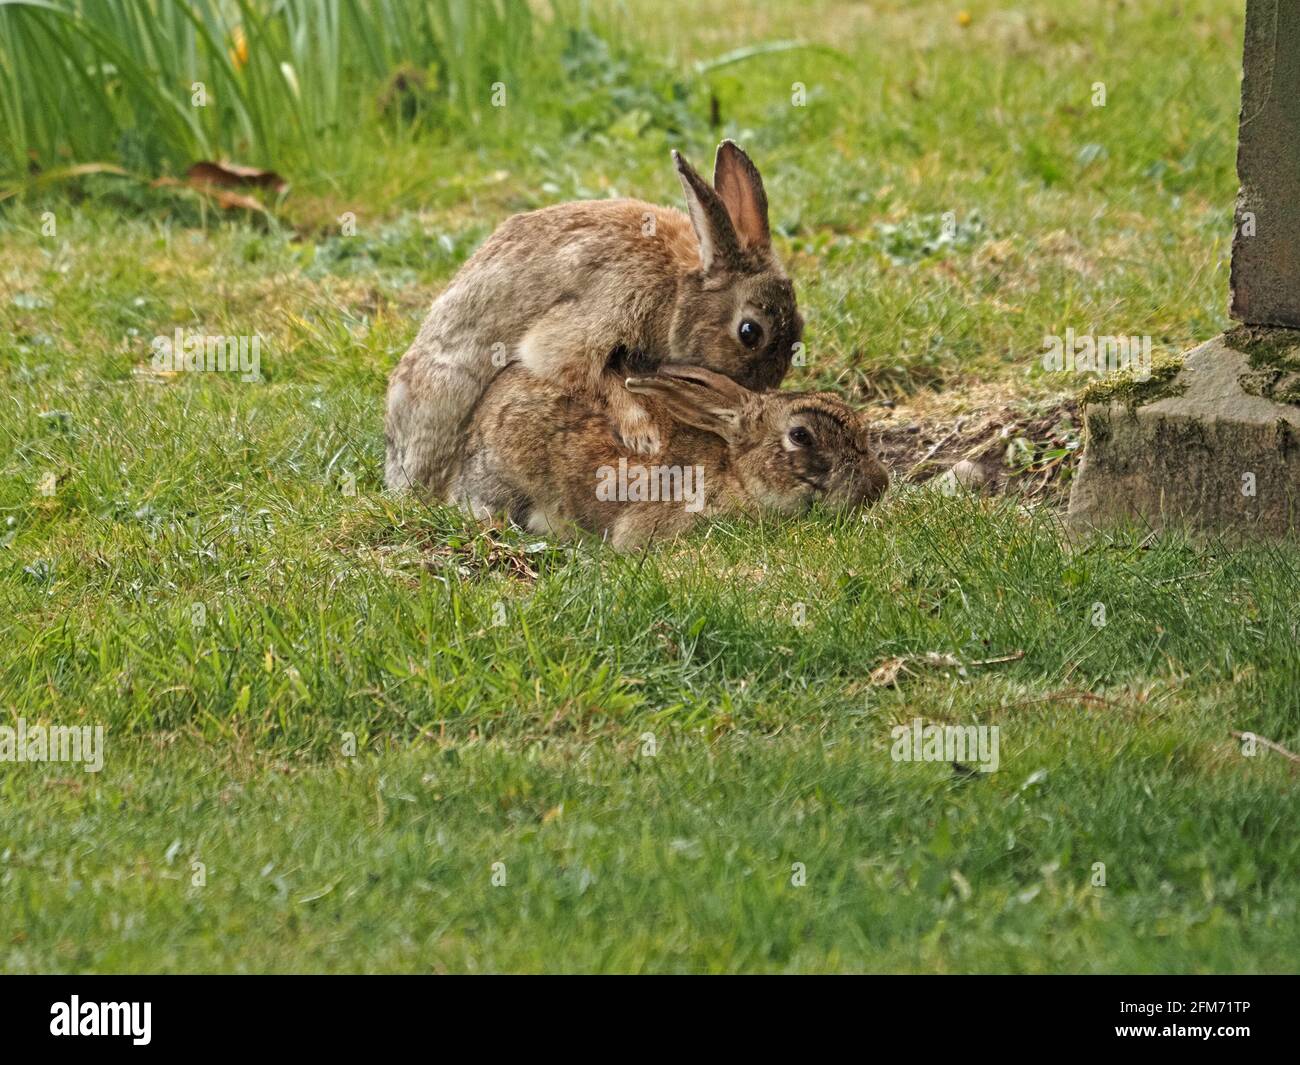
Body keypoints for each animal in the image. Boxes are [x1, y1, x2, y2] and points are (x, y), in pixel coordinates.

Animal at [384, 140, 802, 496]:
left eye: (799, 327)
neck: (677, 287)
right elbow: (590, 374)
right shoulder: (603, 308)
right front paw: (643, 434)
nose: (756, 392)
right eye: (749, 332)